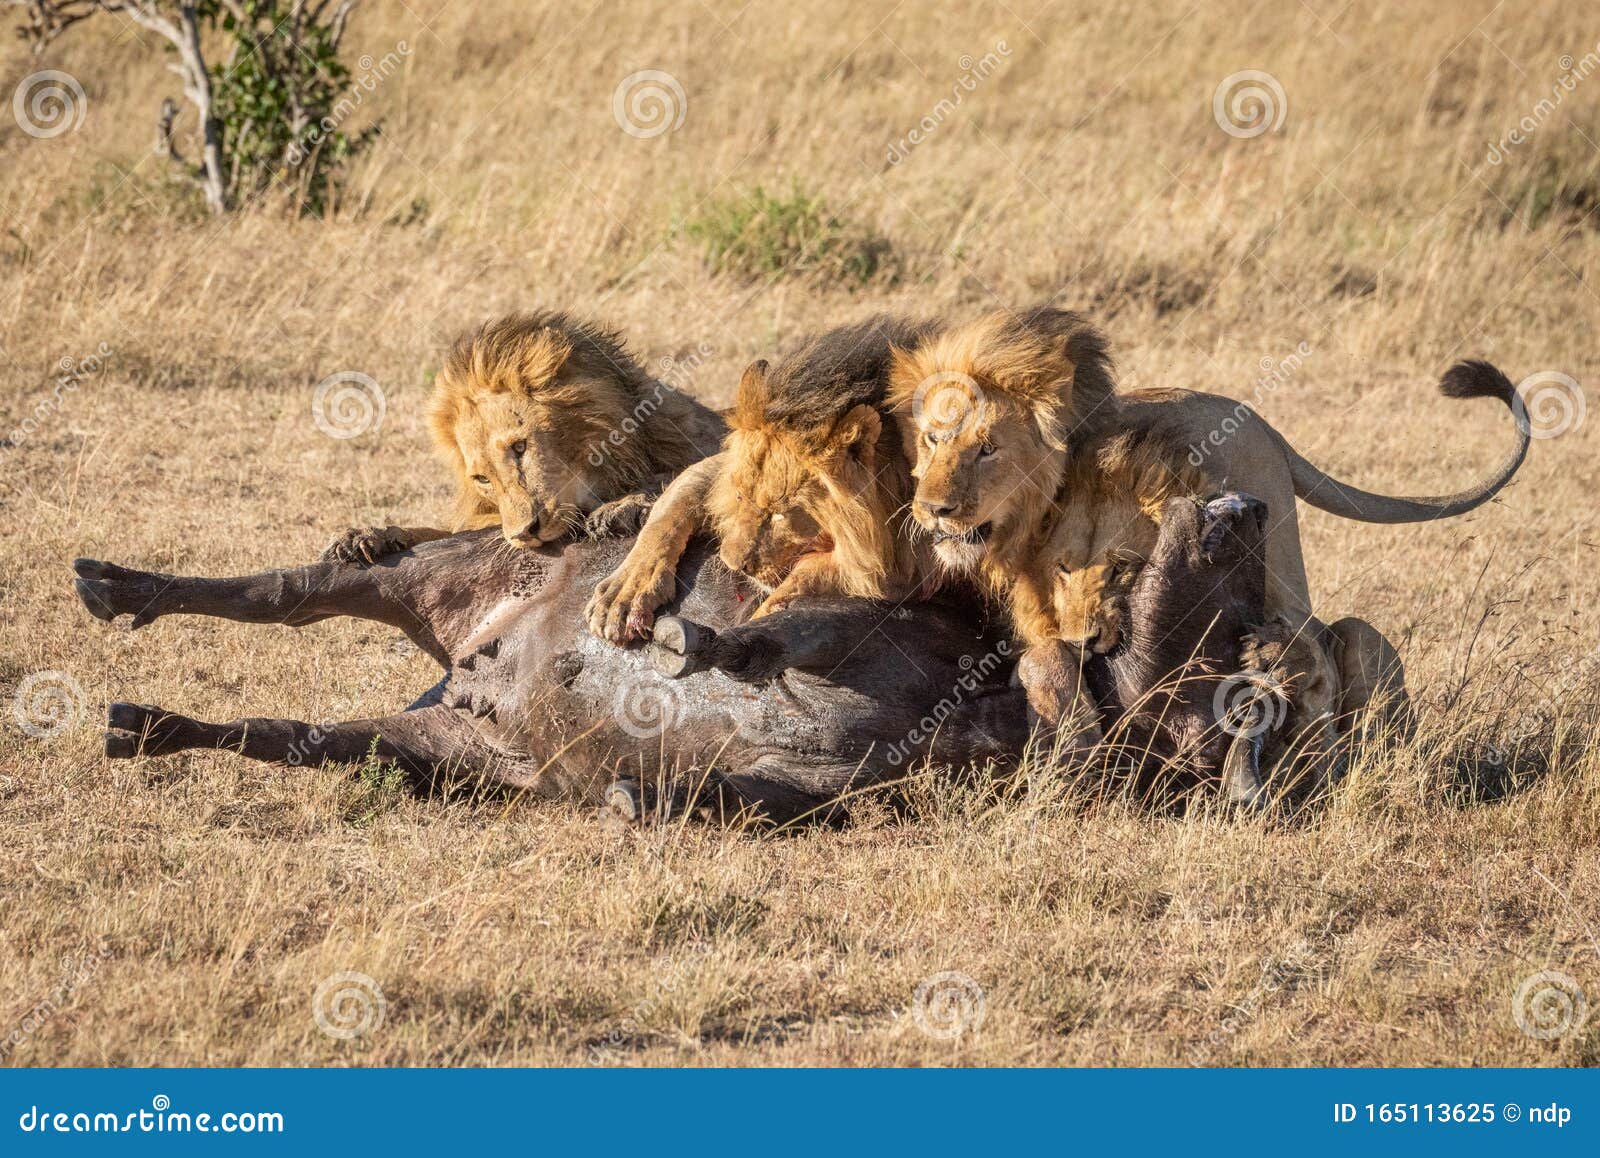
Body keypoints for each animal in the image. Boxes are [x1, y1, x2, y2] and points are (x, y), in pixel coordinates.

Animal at [324, 311, 725, 564]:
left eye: (520, 448)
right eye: (482, 479)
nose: (524, 534)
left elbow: (682, 477)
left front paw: (623, 506)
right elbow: (440, 532)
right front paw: (368, 535)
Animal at [584, 315, 939, 643]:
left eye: (781, 514)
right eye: (741, 496)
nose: (731, 564)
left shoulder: (910, 565)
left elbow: (811, 577)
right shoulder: (719, 469)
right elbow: (666, 516)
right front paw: (624, 595)